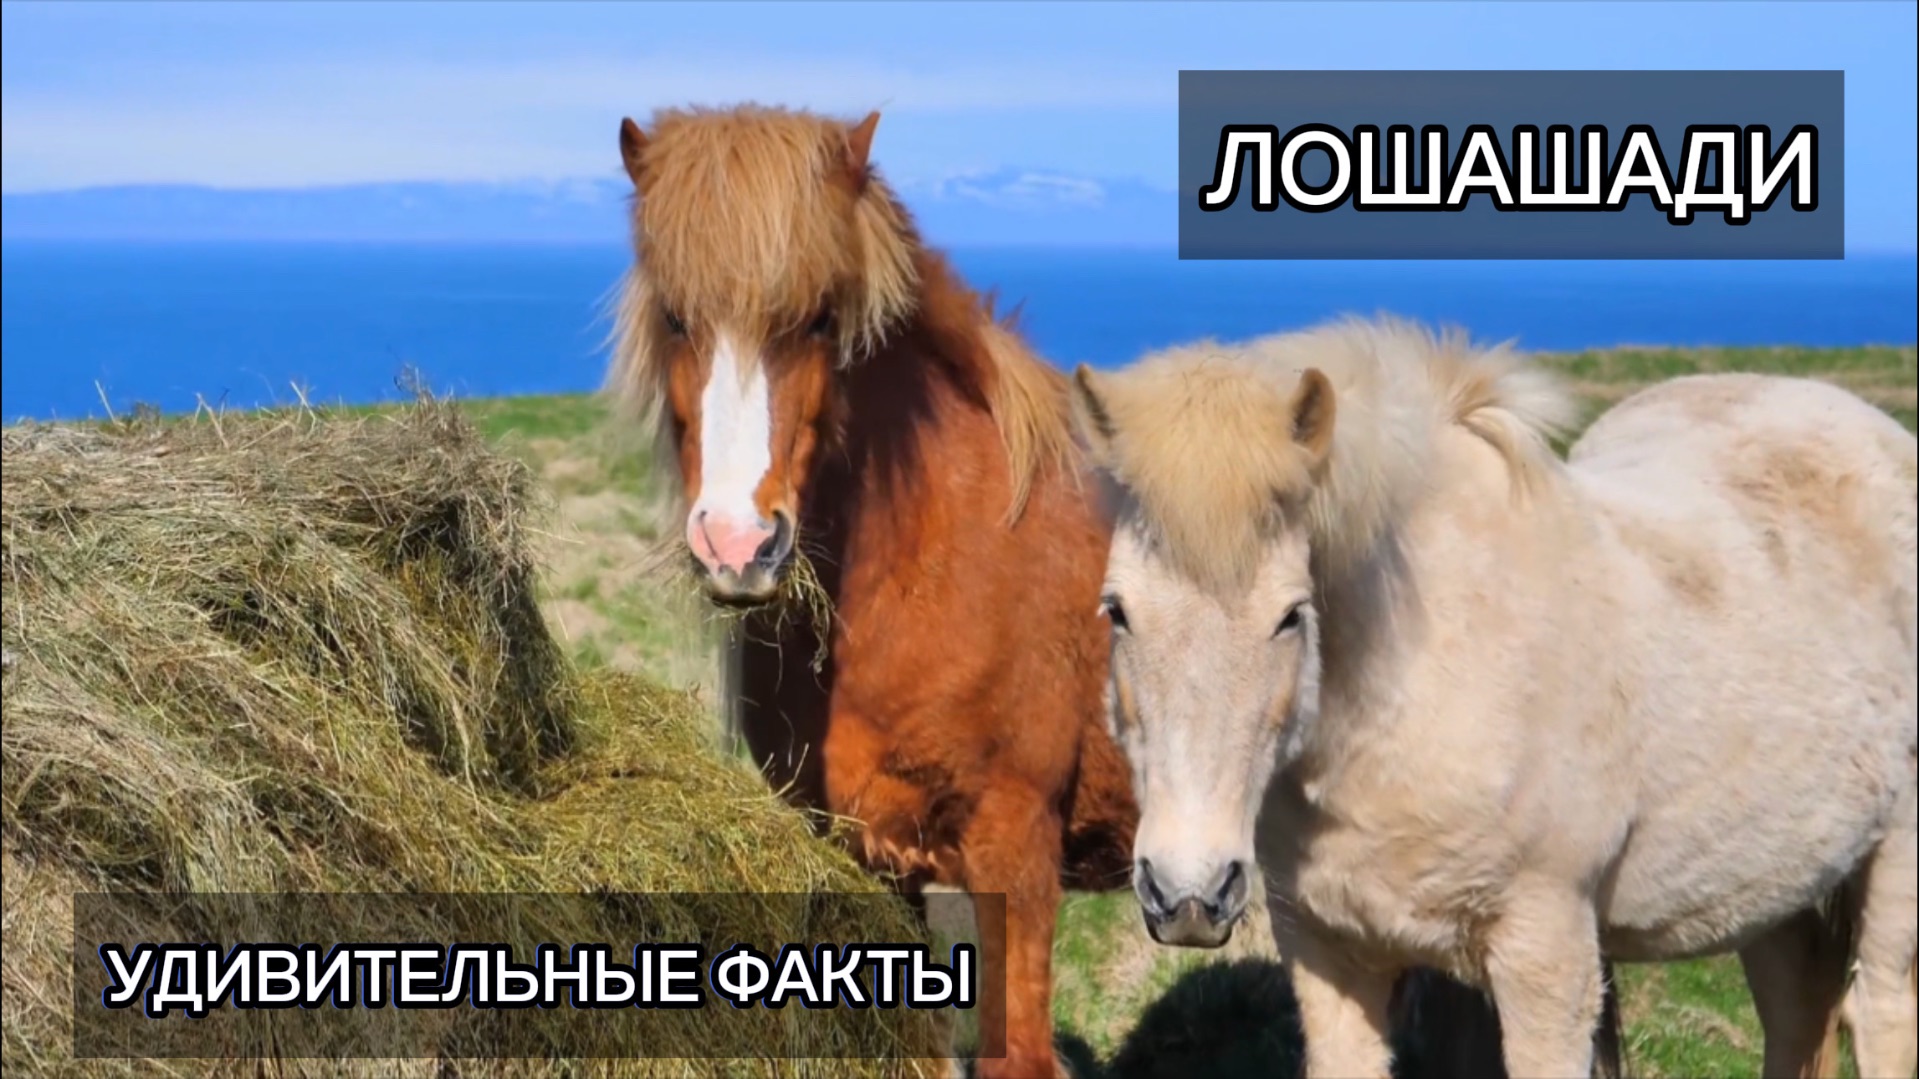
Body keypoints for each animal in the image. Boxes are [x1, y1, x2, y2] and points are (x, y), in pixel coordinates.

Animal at [1068, 316, 1918, 1079]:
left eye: (1289, 615)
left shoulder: (1546, 956)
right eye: (1117, 609)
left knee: (1877, 1012)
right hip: (1774, 886)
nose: (1187, 893)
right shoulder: (1328, 952)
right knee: (1797, 1004)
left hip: (1893, 860)